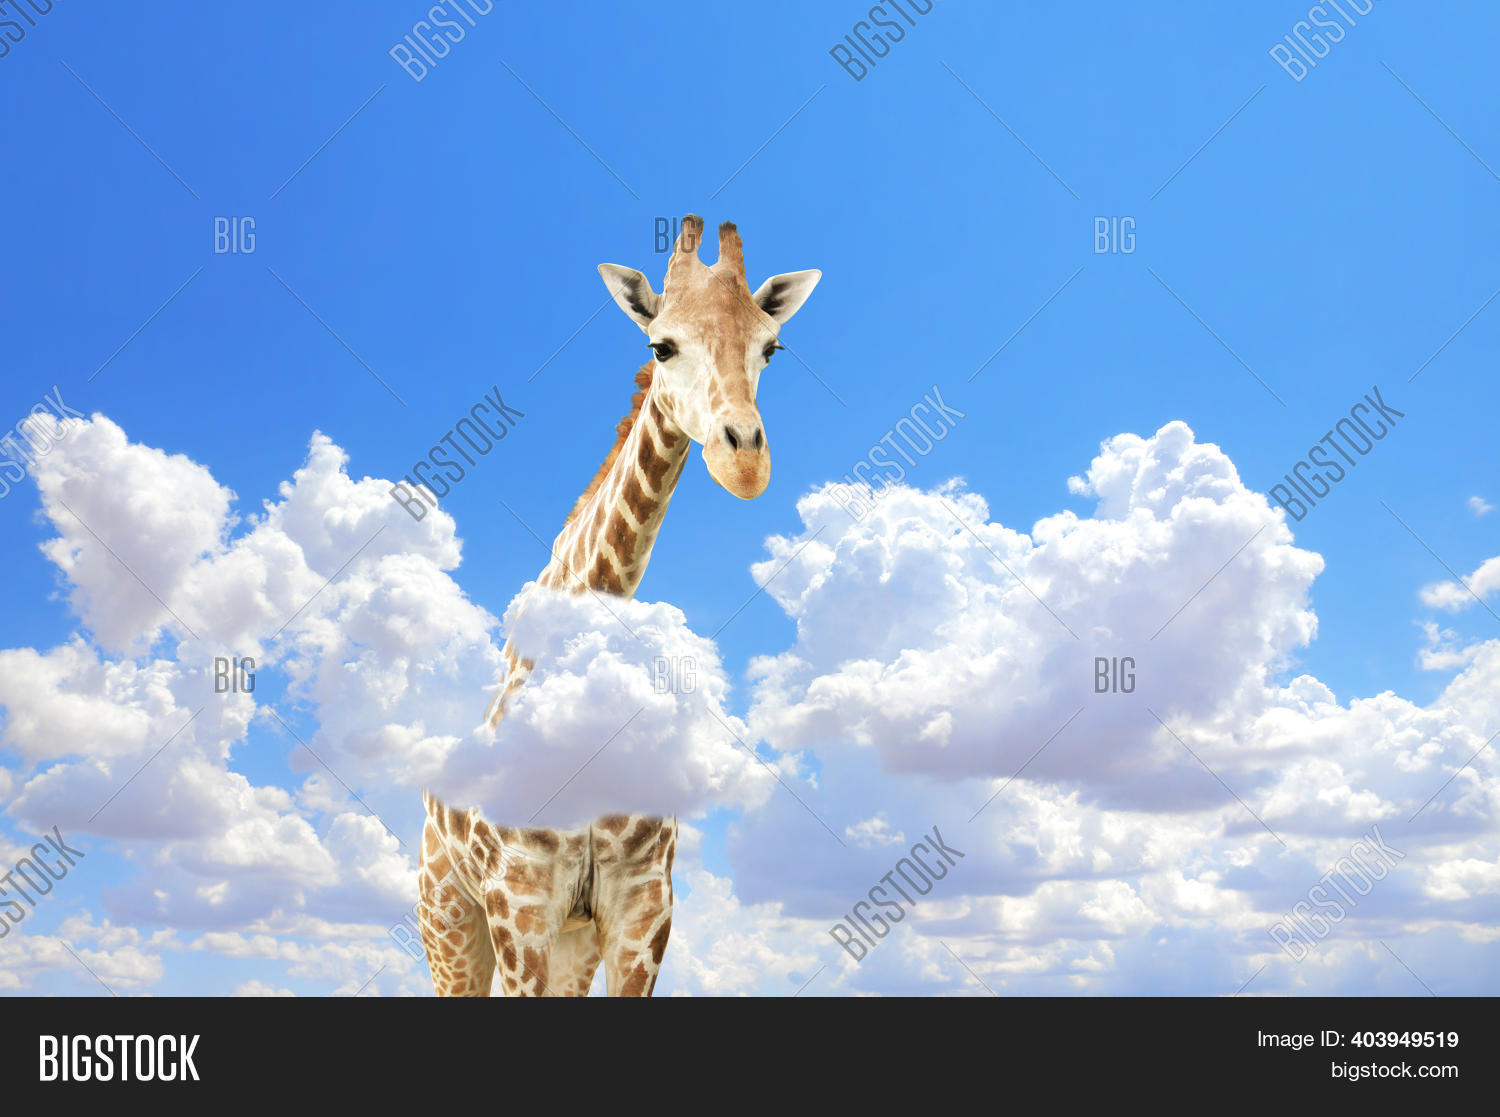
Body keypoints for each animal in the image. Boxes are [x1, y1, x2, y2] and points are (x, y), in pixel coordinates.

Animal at [417, 215, 821, 997]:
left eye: (772, 346)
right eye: (660, 345)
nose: (745, 463)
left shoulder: (643, 908)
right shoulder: (518, 903)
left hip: (573, 944)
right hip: (447, 920)